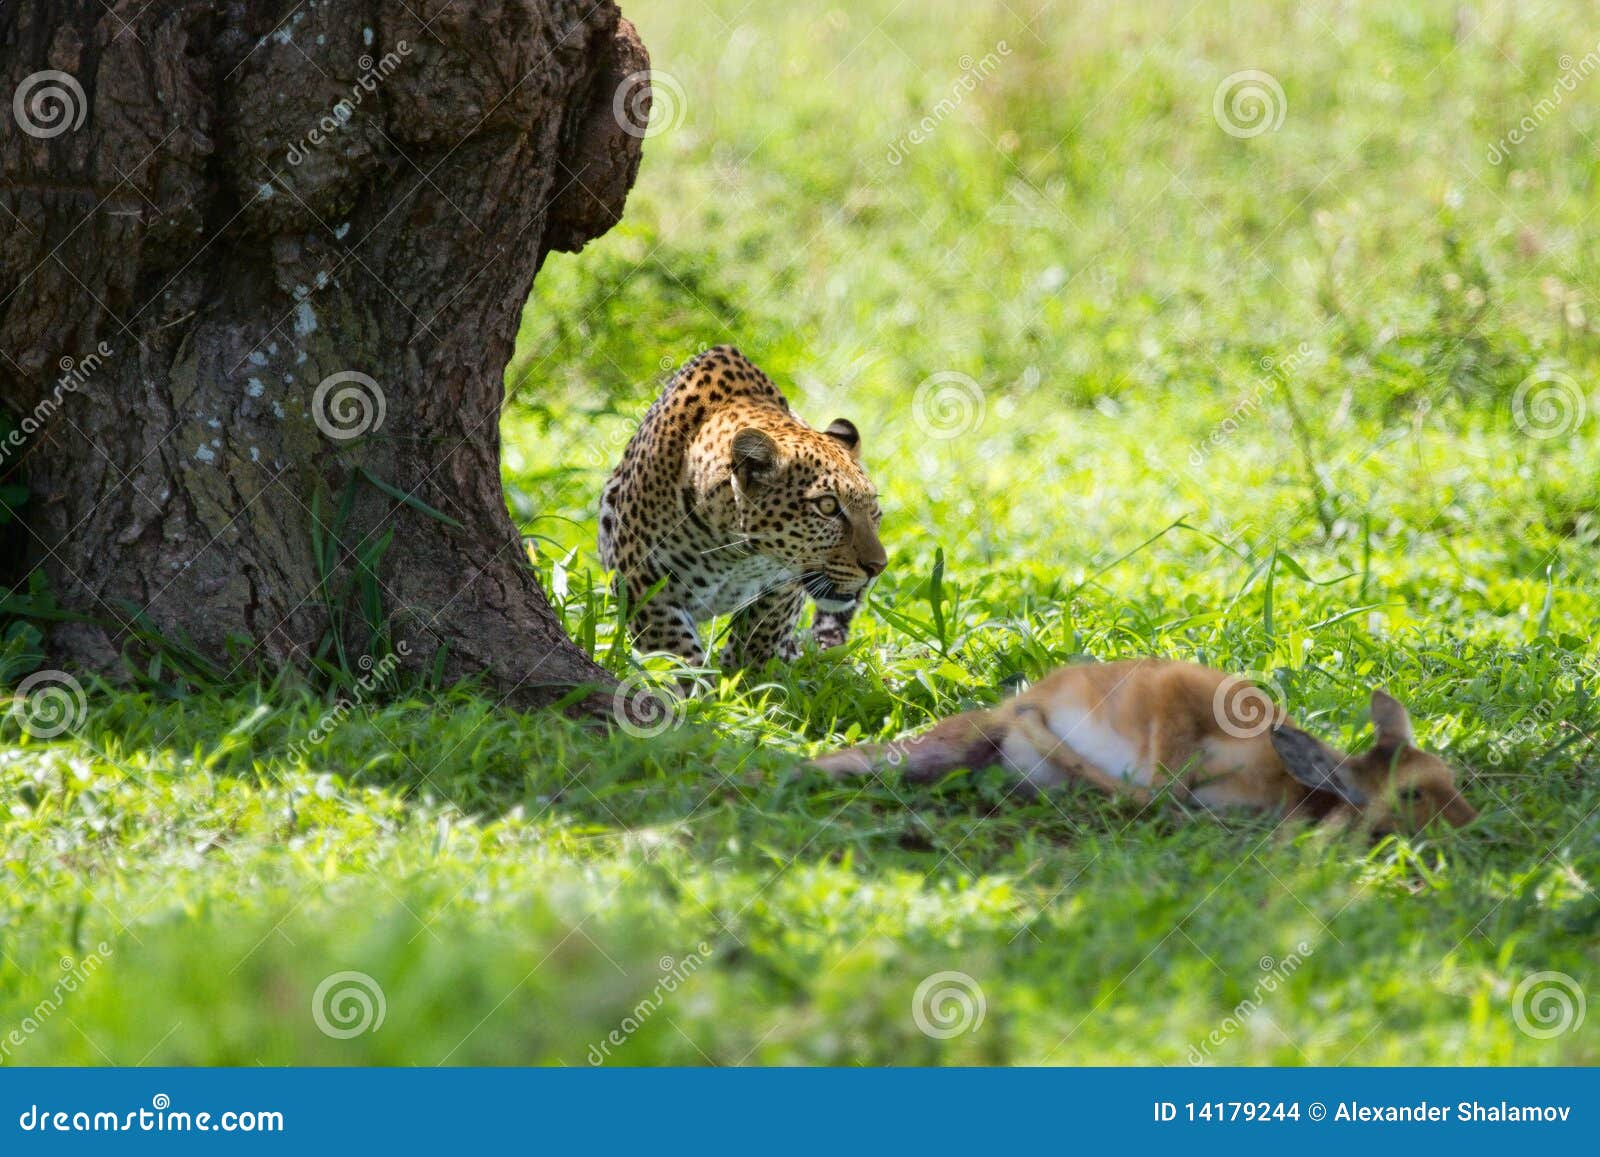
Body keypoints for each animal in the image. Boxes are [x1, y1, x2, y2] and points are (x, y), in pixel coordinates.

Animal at [599, 345, 887, 669]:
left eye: (874, 512)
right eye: (827, 507)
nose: (878, 567)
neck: (736, 554)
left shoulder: (783, 587)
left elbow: (760, 637)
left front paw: (743, 676)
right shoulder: (640, 582)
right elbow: (674, 653)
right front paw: (694, 682)